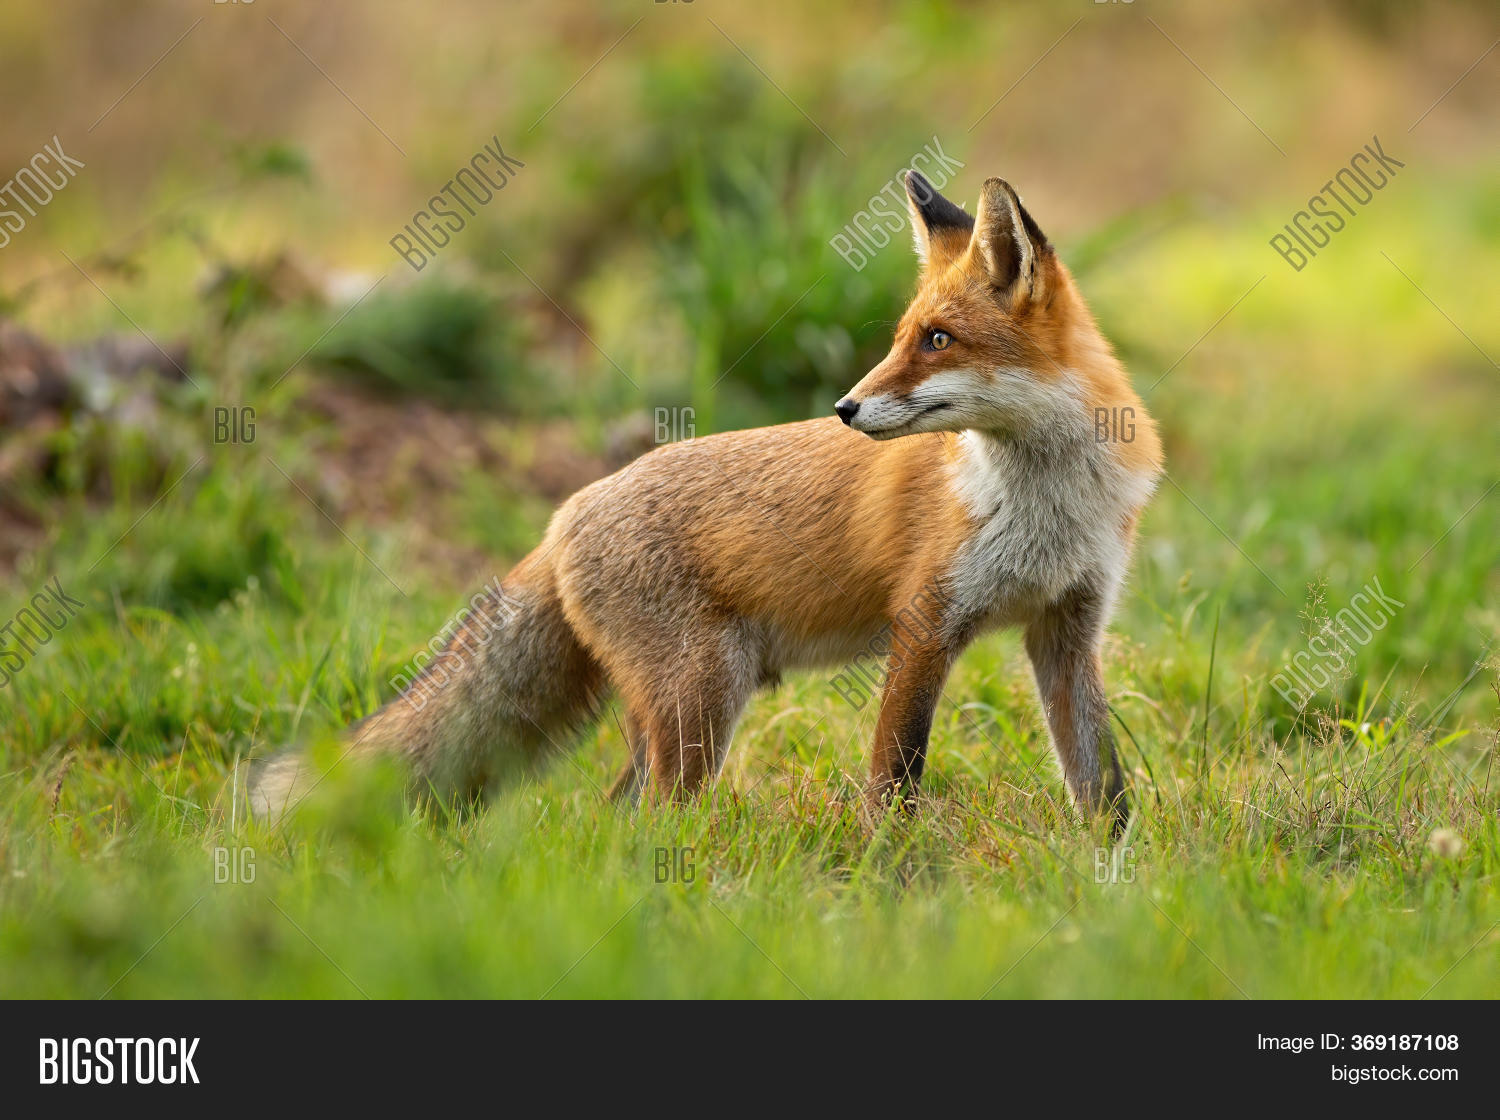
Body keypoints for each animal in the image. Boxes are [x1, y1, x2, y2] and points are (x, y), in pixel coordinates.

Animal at [250, 170, 1162, 829]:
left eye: (938, 340)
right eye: (904, 337)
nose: (845, 407)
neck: (1045, 502)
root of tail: (563, 514)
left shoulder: (1067, 630)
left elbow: (1103, 786)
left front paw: (1115, 880)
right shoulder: (924, 624)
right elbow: (894, 782)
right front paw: (890, 879)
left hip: (691, 707)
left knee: (612, 815)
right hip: (700, 704)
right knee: (641, 817)